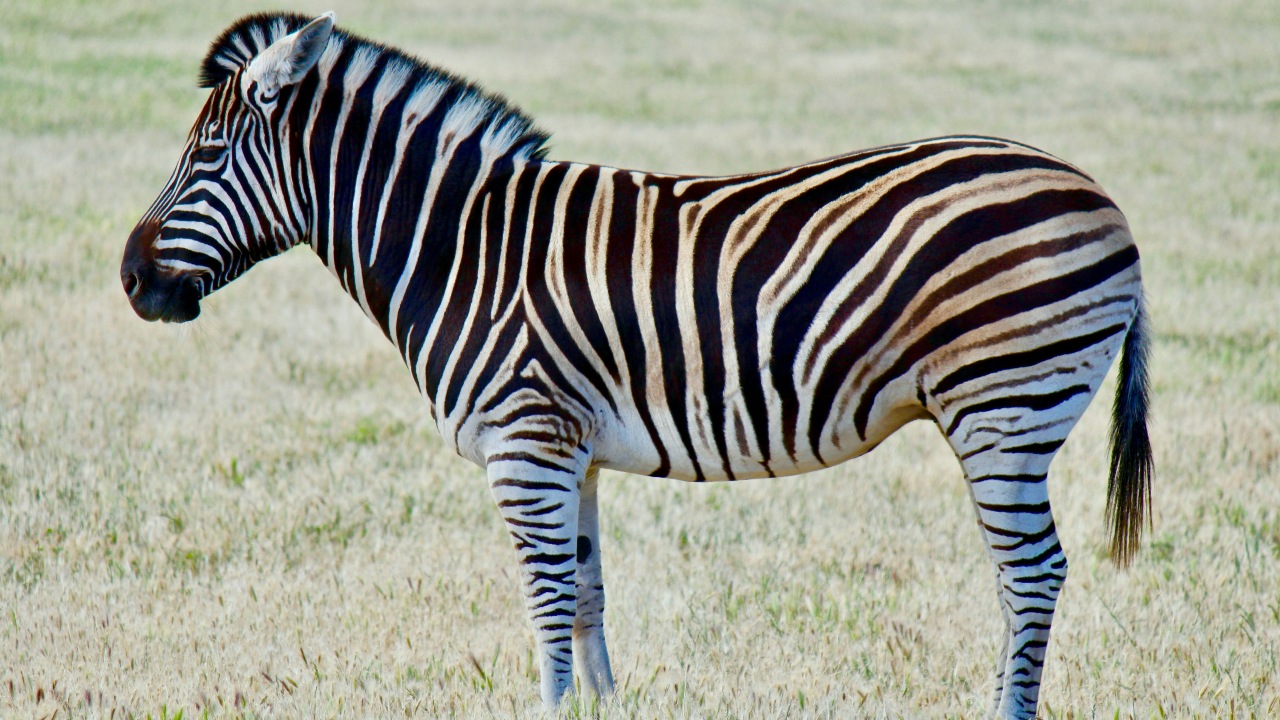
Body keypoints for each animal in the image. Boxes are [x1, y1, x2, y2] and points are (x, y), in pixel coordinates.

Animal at [119, 12, 1153, 718]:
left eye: (207, 151)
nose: (132, 280)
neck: (462, 248)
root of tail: (1100, 196)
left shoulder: (524, 445)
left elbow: (544, 600)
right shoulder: (564, 449)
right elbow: (585, 593)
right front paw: (604, 709)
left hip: (1005, 407)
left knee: (1033, 573)